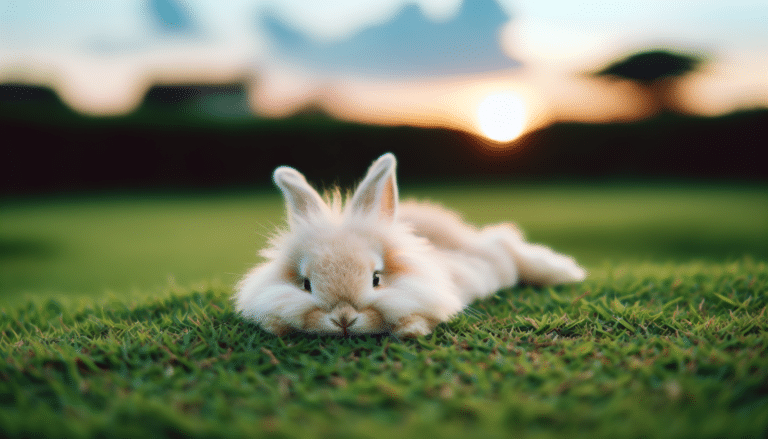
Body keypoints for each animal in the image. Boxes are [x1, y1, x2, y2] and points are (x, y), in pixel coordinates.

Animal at [235, 153, 586, 338]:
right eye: (306, 284)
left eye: (376, 279)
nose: (344, 320)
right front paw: (278, 327)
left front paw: (410, 330)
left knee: (506, 243)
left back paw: (562, 273)